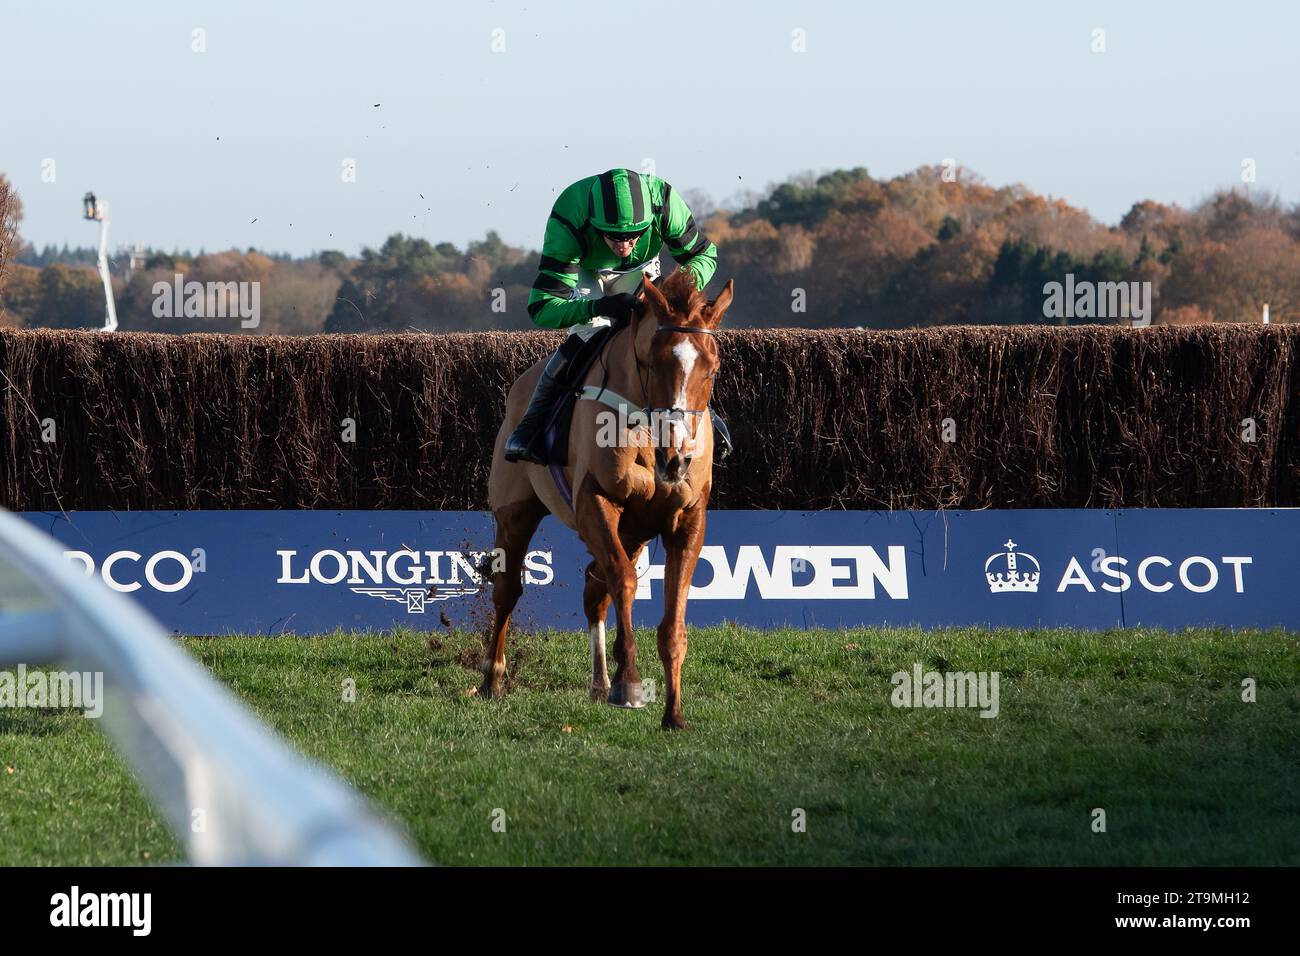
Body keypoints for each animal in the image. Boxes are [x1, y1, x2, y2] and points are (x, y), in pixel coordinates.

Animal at [482, 268, 734, 729]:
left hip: (633, 531)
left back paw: (600, 684)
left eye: (712, 369)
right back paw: (492, 677)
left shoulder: (688, 518)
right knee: (508, 588)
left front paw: (673, 713)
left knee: (592, 586)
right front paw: (630, 682)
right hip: (516, 512)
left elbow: (672, 623)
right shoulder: (595, 502)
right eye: (654, 362)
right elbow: (625, 580)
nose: (678, 459)